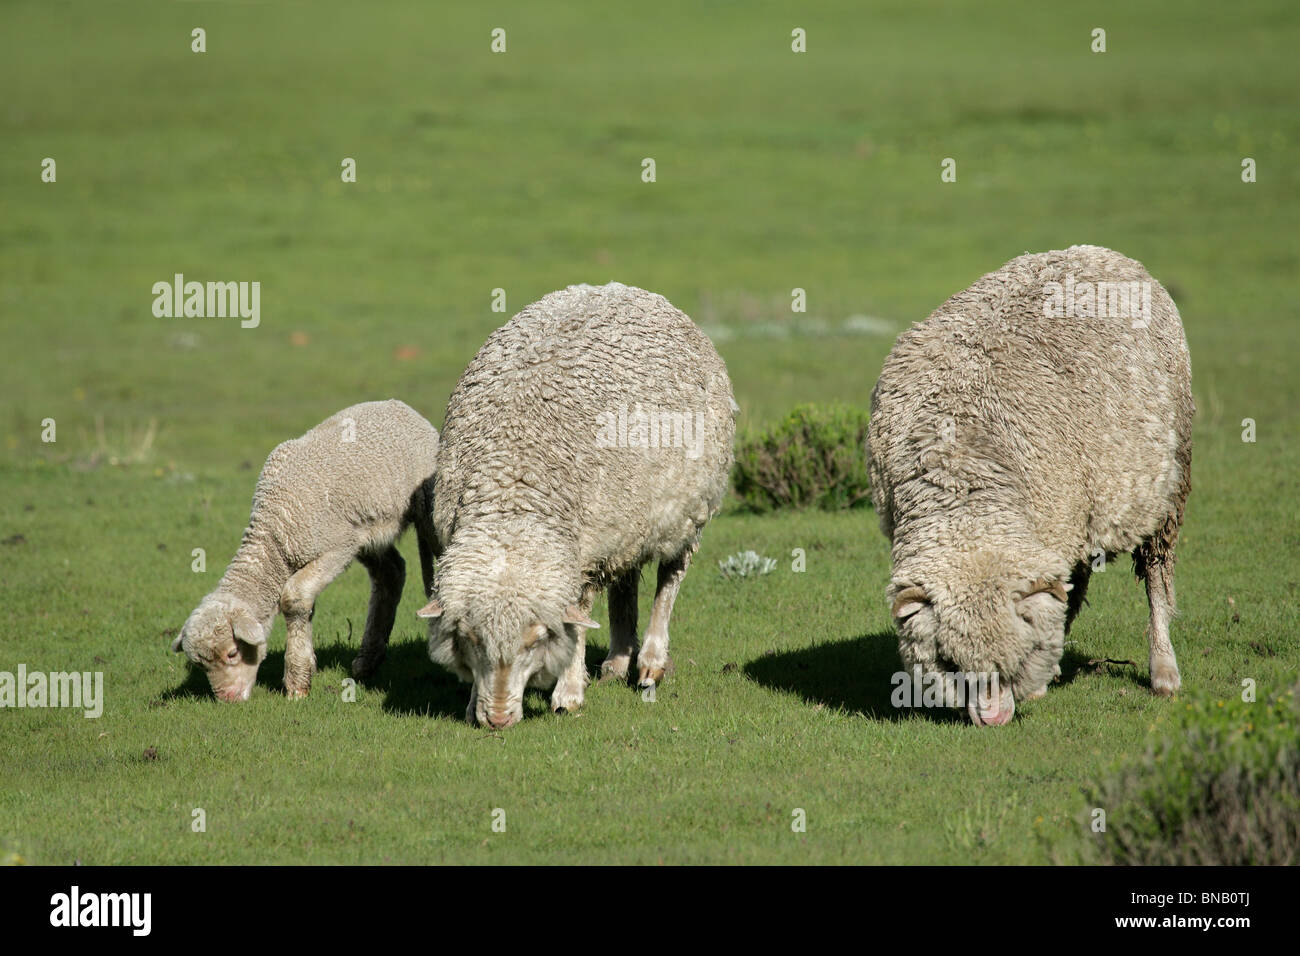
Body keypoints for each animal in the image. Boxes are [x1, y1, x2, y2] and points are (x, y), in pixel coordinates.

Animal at [171, 400, 439, 700]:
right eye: (201, 665)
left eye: (232, 653)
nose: (227, 699)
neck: (274, 534)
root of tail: (398, 405)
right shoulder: (341, 541)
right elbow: (305, 606)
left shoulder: (336, 548)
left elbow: (294, 598)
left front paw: (297, 684)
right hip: (365, 530)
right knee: (391, 573)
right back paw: (368, 660)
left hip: (420, 508)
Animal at [418, 282, 736, 728]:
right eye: (470, 640)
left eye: (537, 640)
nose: (498, 719)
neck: (513, 493)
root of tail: (630, 289)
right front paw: (471, 704)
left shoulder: (584, 555)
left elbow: (579, 618)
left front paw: (567, 693)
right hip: (625, 519)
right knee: (625, 582)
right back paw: (618, 661)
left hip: (687, 508)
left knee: (669, 577)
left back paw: (651, 661)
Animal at [867, 245, 1194, 725]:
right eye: (951, 665)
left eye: (1018, 660)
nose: (993, 719)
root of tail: (1105, 253)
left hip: (1168, 484)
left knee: (1156, 572)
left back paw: (1163, 670)